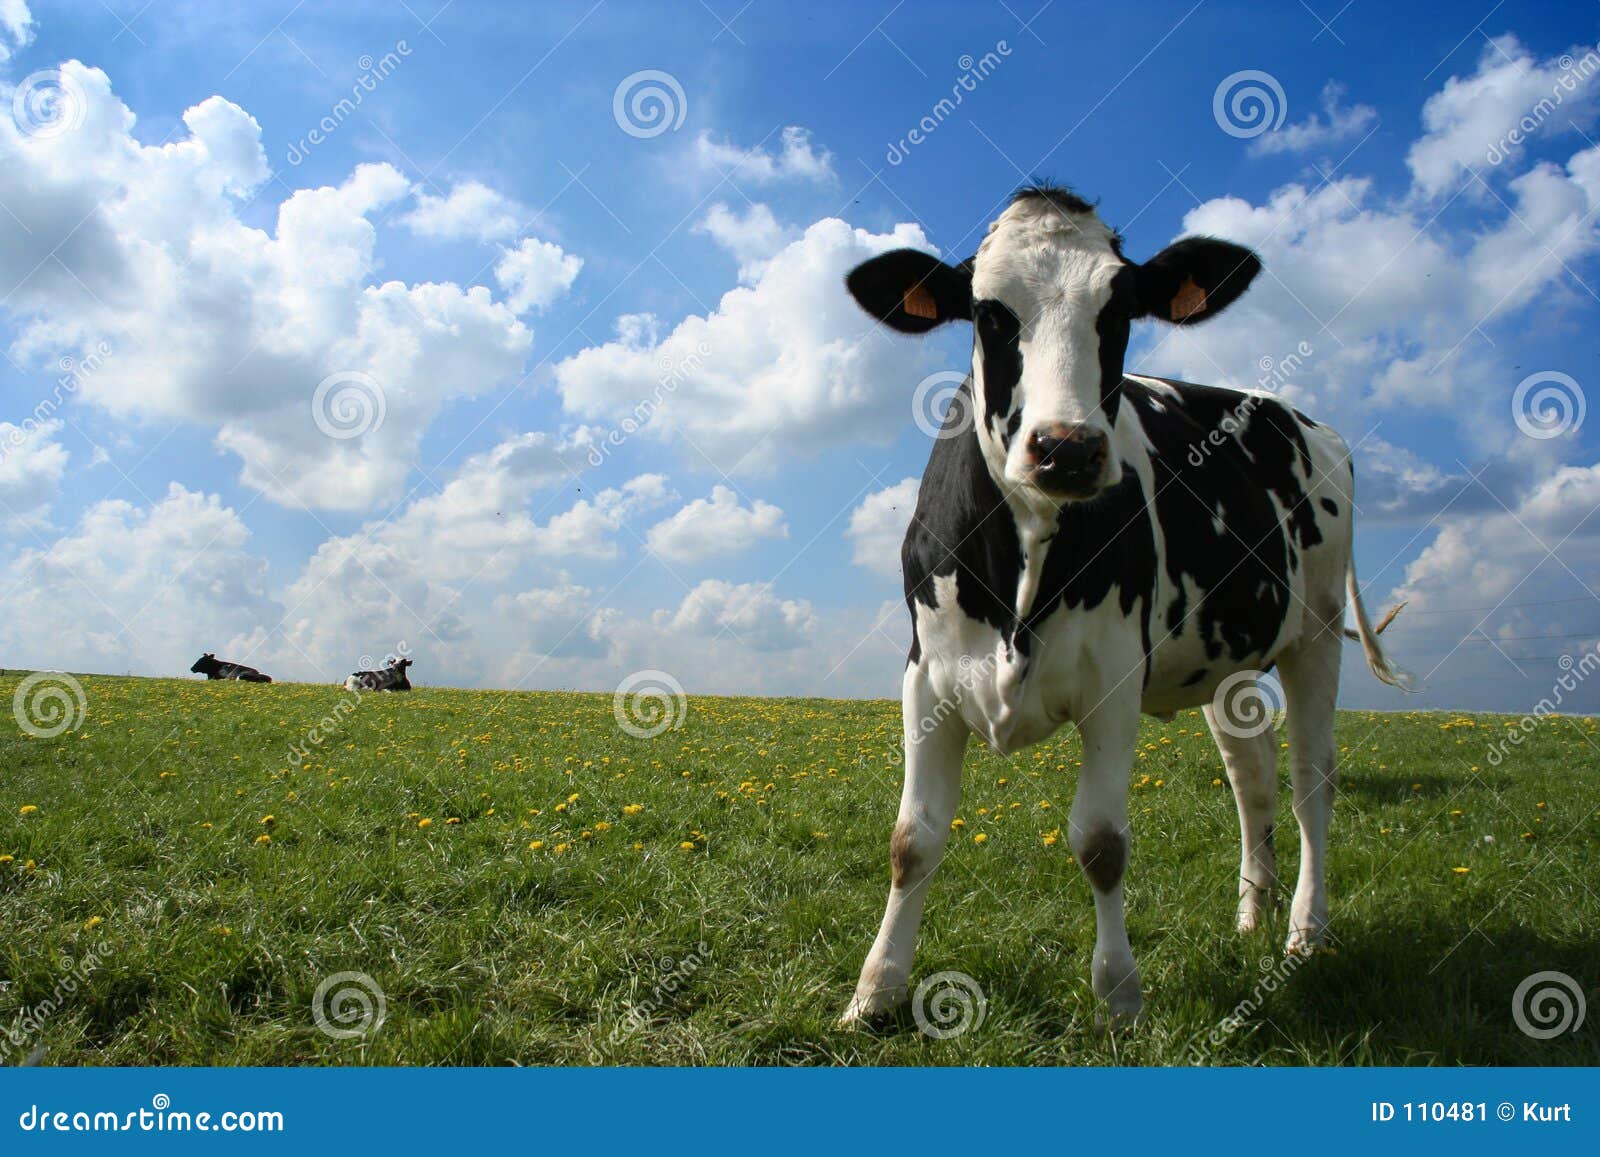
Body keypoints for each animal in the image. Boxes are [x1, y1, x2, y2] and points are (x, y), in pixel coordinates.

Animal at [838, 185, 1417, 1028]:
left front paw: (1118, 993)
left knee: (1314, 779)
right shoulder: (928, 675)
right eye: (986, 311)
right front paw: (875, 990)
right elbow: (912, 839)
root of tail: (1300, 418)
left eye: (1122, 309)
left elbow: (1101, 841)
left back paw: (1305, 929)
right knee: (1253, 773)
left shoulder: (1114, 678)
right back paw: (1253, 911)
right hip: (1227, 660)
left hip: (1313, 635)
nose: (1067, 448)